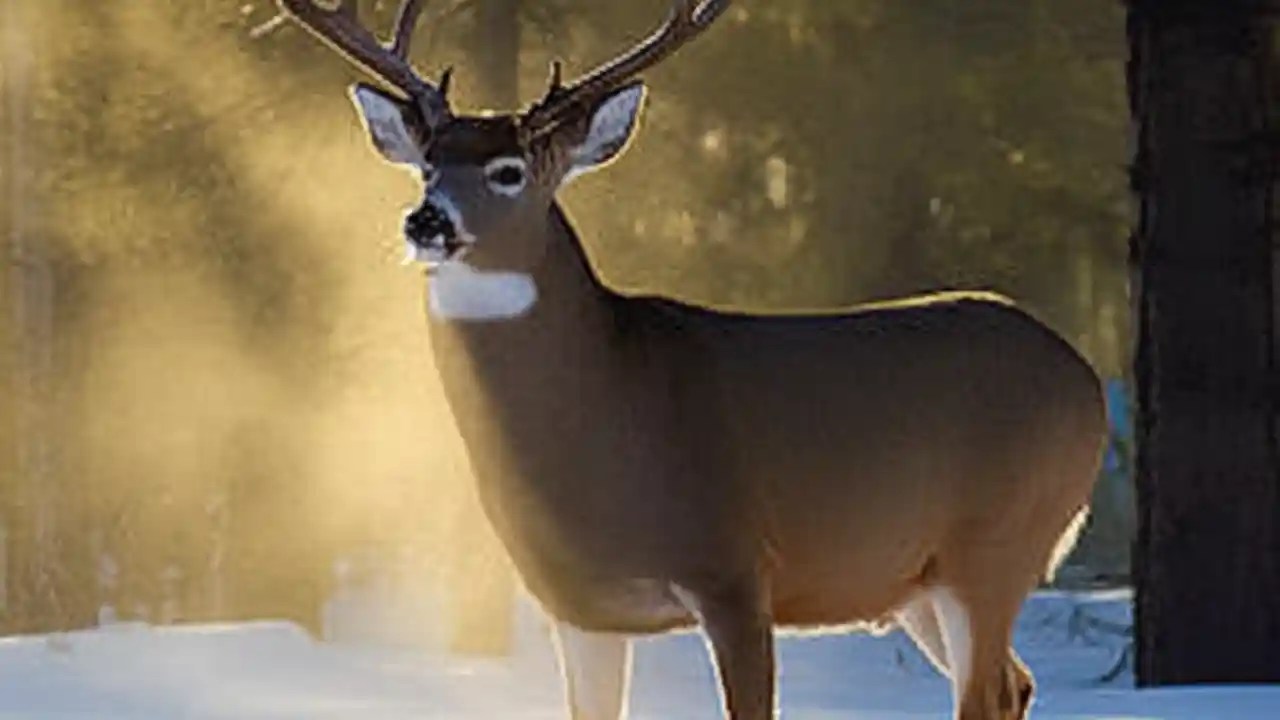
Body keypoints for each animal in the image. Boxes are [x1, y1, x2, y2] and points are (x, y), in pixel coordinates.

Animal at [274, 1, 1107, 718]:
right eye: (426, 163)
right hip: (915, 581)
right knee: (1018, 685)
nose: (426, 221)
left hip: (997, 538)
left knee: (989, 693)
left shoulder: (734, 567)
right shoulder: (579, 606)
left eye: (507, 170)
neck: (611, 421)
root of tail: (1088, 381)